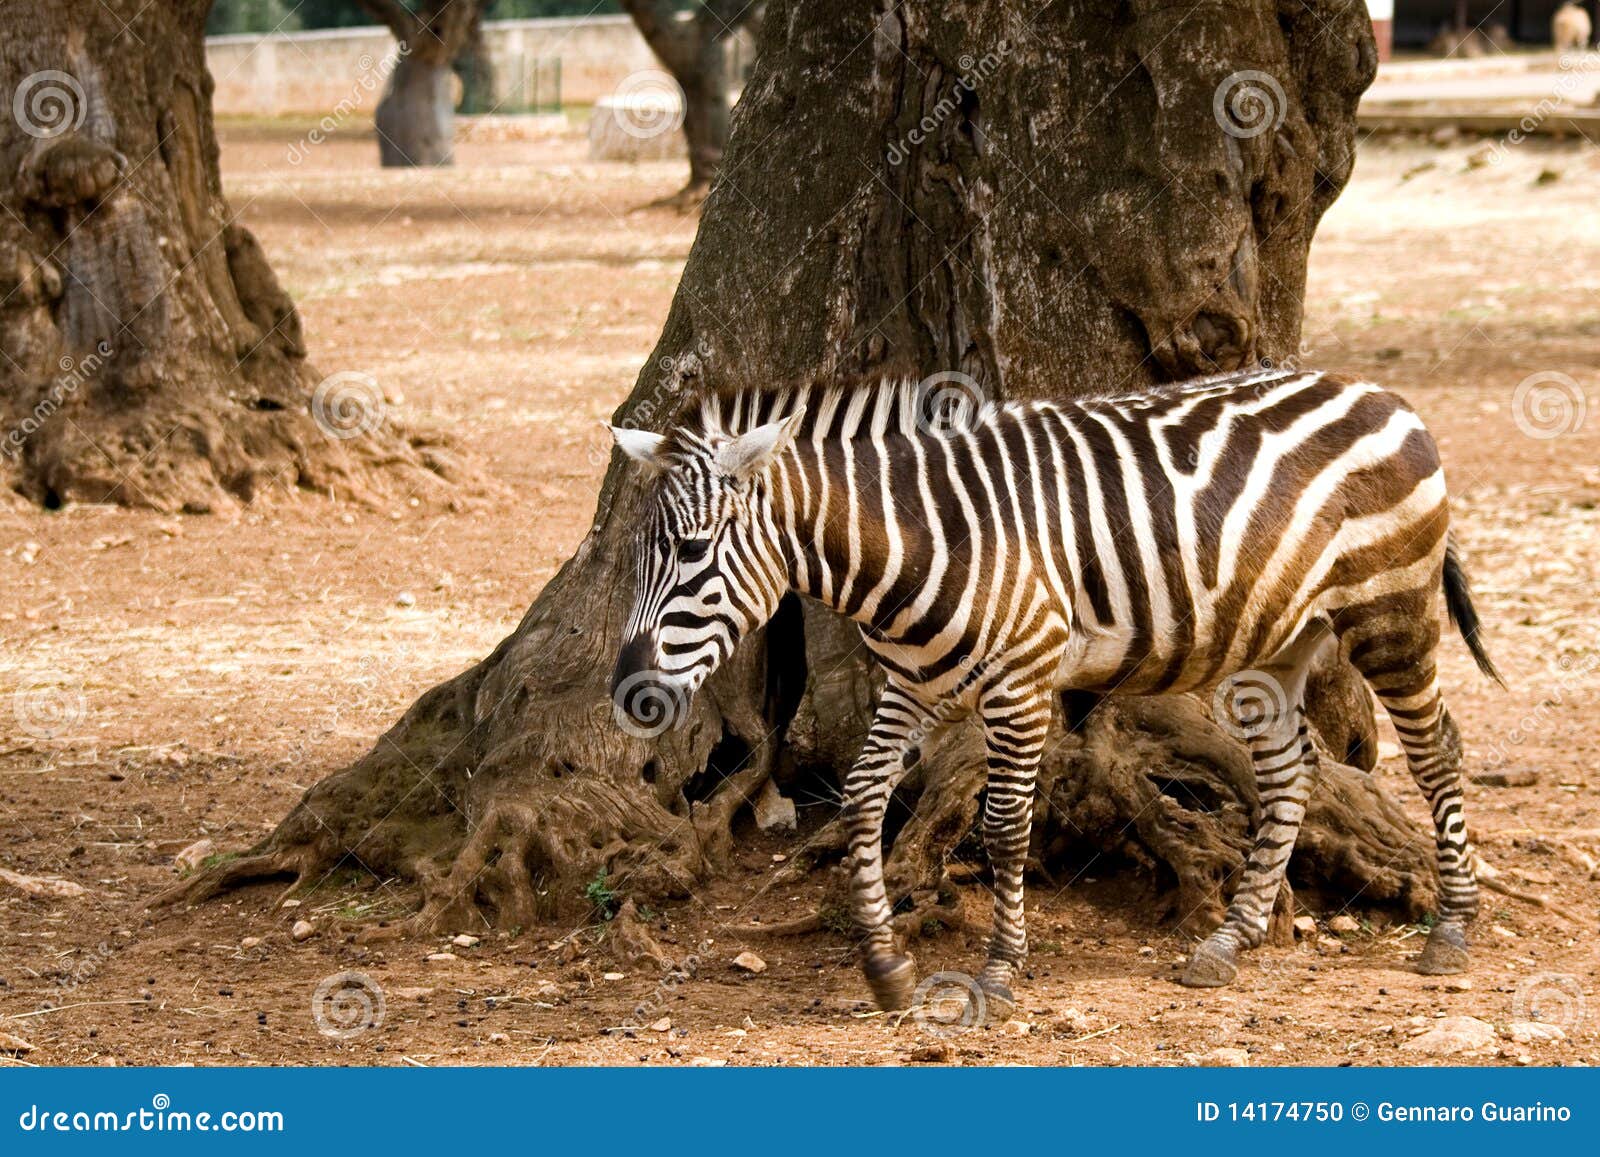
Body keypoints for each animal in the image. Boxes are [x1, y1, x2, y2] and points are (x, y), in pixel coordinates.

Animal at [607, 368, 1502, 1022]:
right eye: (641, 557)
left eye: (692, 551)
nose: (628, 696)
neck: (913, 547)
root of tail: (1375, 388)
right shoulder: (911, 684)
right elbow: (862, 801)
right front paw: (886, 965)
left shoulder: (1023, 682)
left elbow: (1006, 828)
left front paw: (999, 973)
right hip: (1277, 641)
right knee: (1290, 771)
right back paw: (1230, 942)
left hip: (1390, 611)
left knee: (1437, 749)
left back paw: (1452, 929)